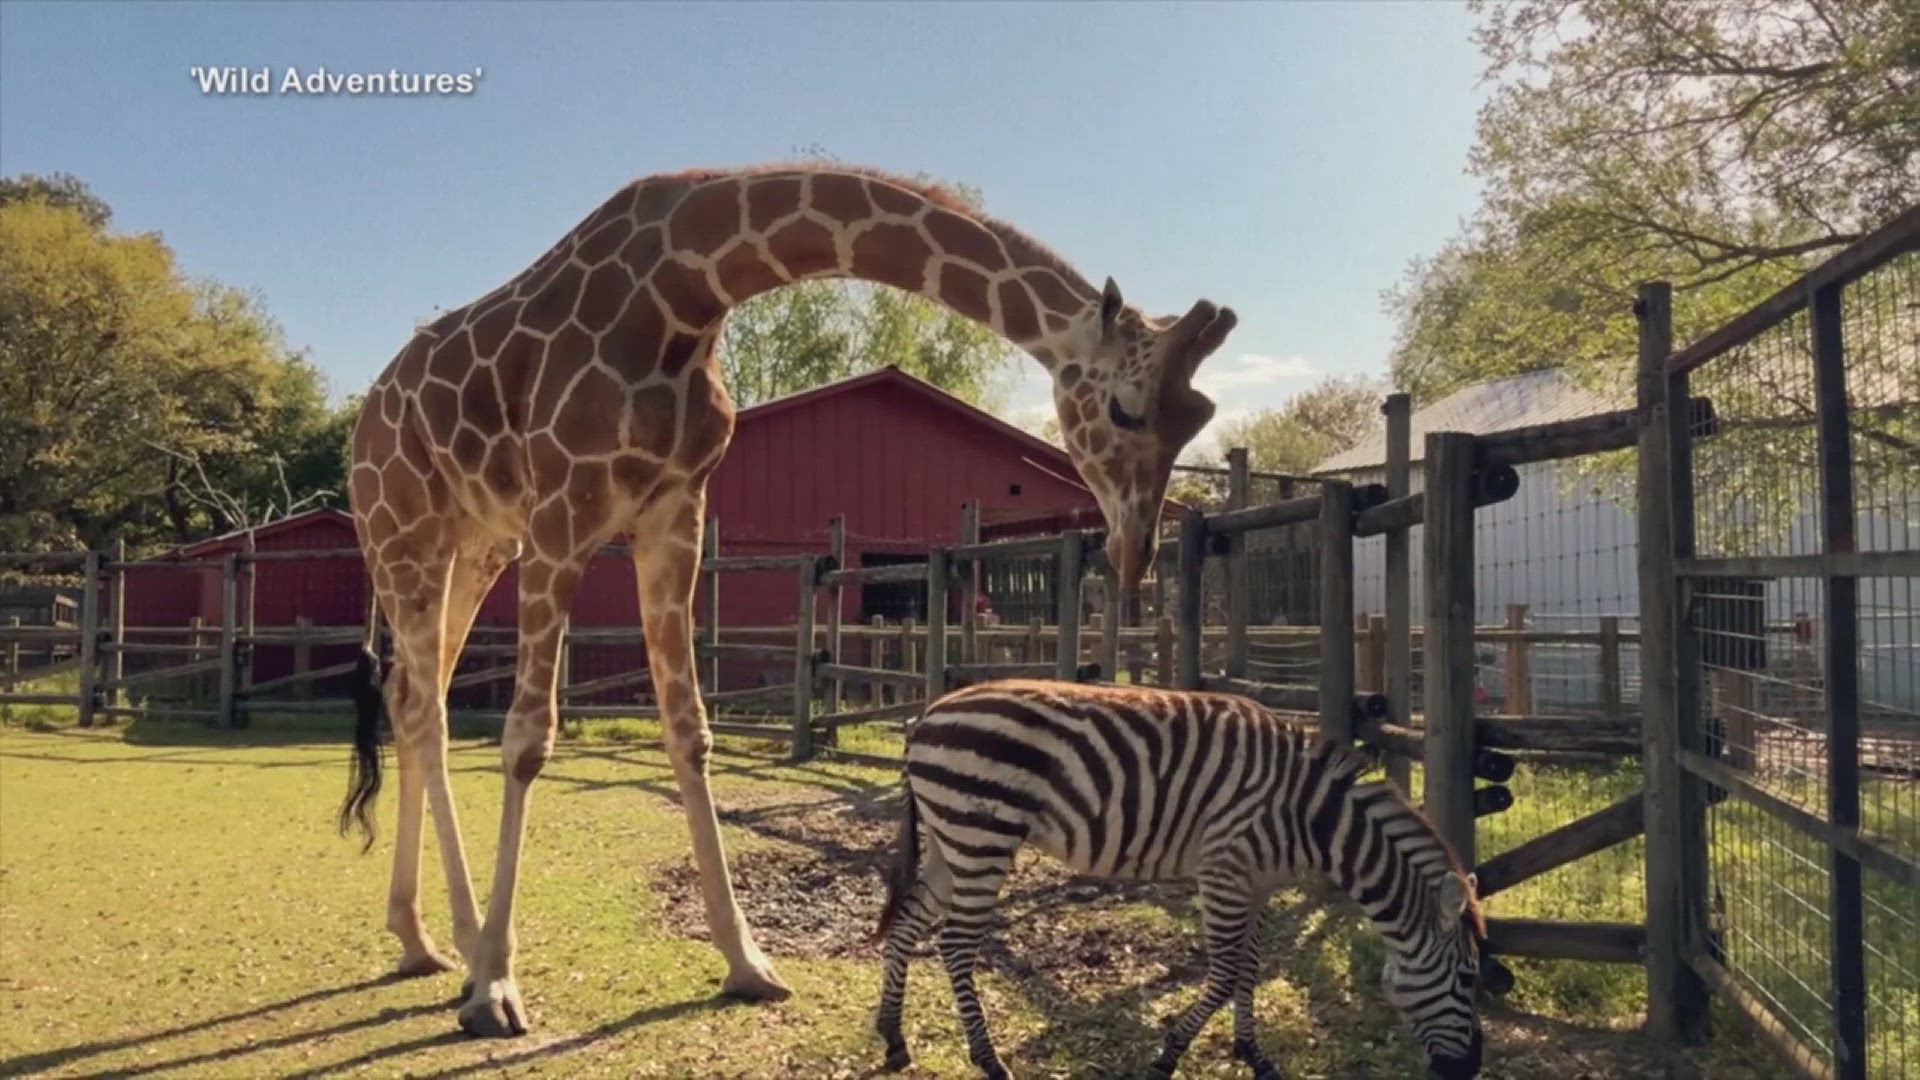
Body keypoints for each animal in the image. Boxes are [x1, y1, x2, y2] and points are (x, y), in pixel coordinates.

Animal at [336, 162, 1238, 1037]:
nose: (1133, 549)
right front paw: (497, 986)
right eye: (1125, 408)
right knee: (427, 709)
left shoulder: (673, 513)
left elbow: (691, 731)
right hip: (405, 533)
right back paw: (455, 948)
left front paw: (747, 963)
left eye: (1198, 417)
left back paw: (423, 938)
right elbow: (527, 740)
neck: (686, 289)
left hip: (477, 542)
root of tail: (366, 420)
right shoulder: (562, 511)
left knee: (417, 697)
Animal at [872, 679, 1486, 1079]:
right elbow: (1225, 973)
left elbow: (1250, 968)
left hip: (951, 840)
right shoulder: (1225, 870)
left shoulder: (1256, 882)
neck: (1310, 815)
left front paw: (1253, 1055)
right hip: (982, 835)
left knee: (907, 924)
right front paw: (1168, 1054)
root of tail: (928, 714)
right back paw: (990, 1060)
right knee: (955, 944)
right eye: (1469, 978)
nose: (1468, 1071)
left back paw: (893, 1037)